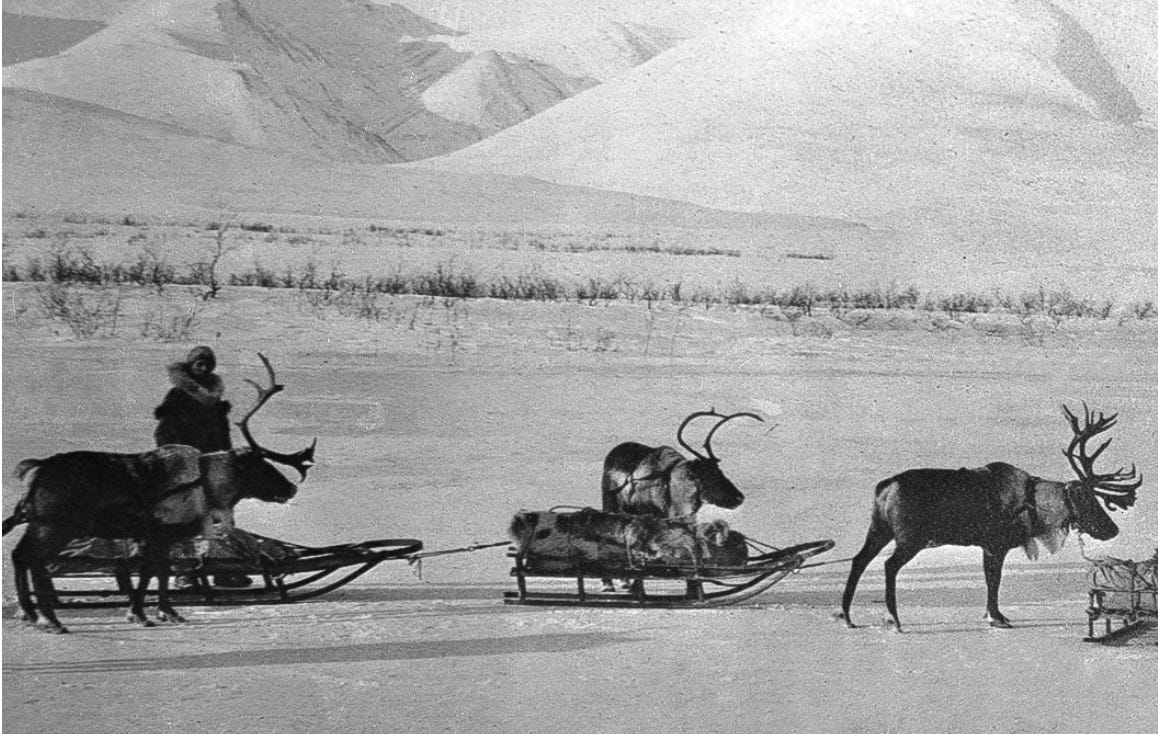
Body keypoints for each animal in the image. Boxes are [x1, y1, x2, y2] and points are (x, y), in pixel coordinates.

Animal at [4, 354, 316, 633]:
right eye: (260, 465)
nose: (291, 487)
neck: (207, 484)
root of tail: (37, 470)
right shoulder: (161, 533)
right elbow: (154, 573)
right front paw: (150, 614)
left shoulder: (157, 536)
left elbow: (156, 572)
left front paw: (157, 612)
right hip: (57, 526)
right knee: (35, 561)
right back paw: (50, 620)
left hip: (41, 523)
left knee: (19, 554)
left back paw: (30, 613)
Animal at [838, 403, 1142, 632]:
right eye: (1089, 500)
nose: (1112, 529)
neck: (1035, 506)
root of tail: (884, 487)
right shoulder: (996, 544)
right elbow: (994, 581)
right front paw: (997, 618)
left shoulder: (987, 545)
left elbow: (990, 580)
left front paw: (996, 615)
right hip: (910, 537)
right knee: (888, 565)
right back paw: (894, 619)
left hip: (879, 528)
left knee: (859, 560)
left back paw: (847, 617)